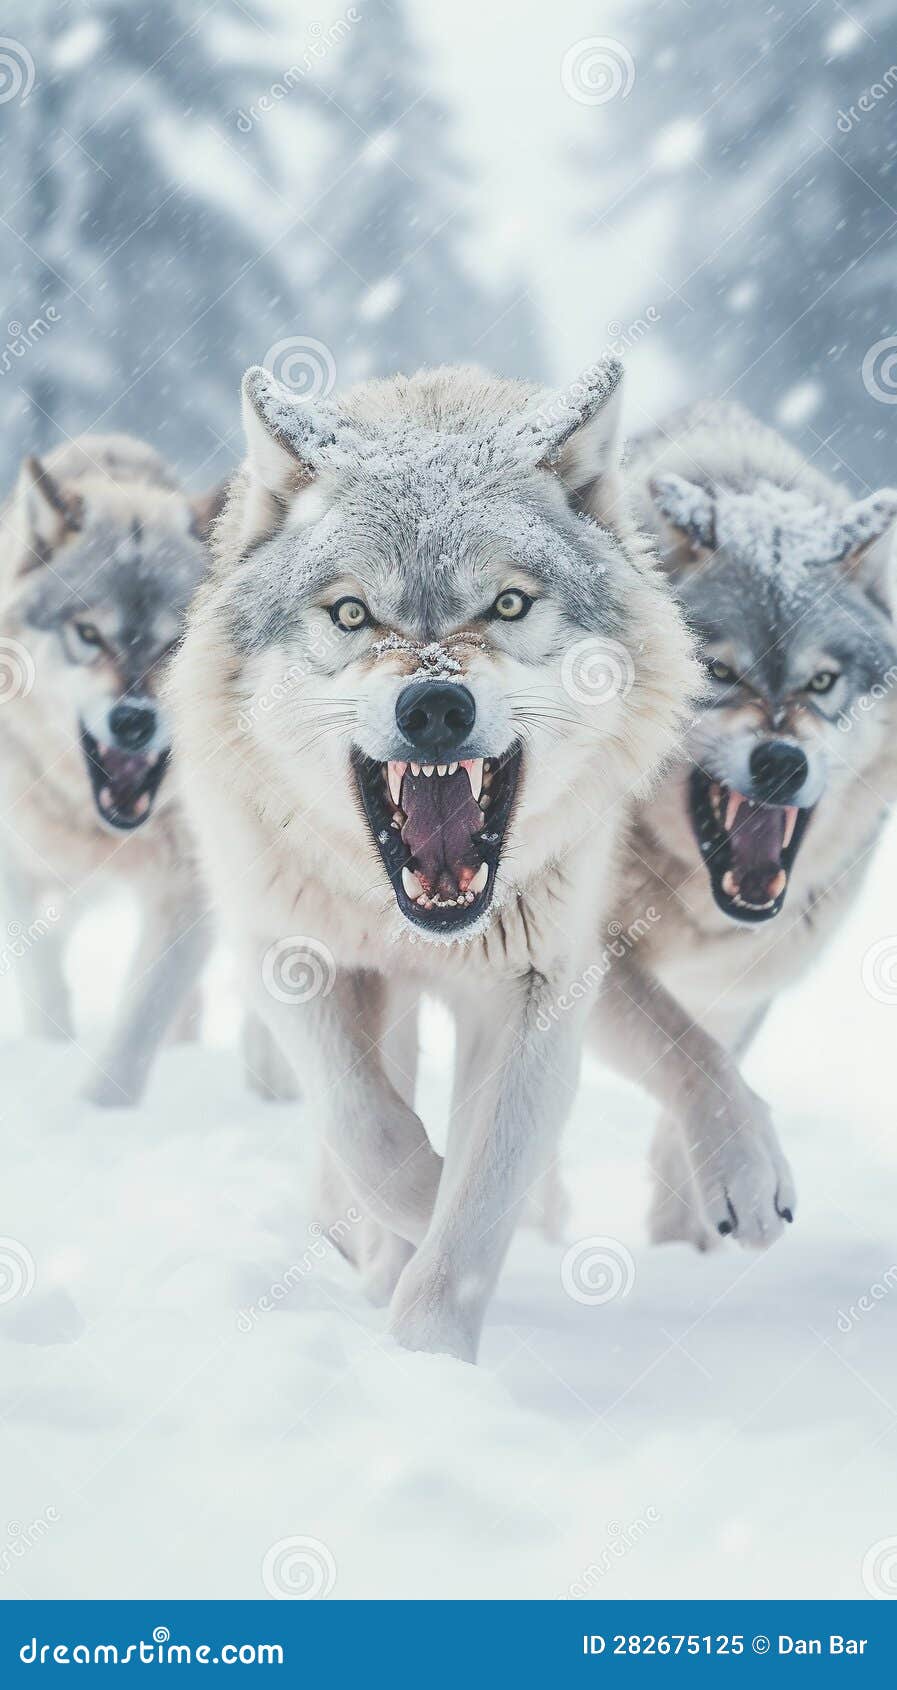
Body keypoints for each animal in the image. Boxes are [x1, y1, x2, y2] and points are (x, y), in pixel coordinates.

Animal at [0, 434, 220, 1104]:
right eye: (89, 633)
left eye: (176, 642)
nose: (133, 721)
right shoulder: (14, 871)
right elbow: (41, 975)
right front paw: (51, 1048)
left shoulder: (189, 891)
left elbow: (139, 1023)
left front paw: (100, 1111)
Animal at [168, 355, 698, 1362]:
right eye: (350, 612)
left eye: (507, 604)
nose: (436, 707)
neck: (414, 919)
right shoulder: (287, 955)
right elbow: (371, 1131)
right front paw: (396, 1219)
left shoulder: (539, 988)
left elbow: (476, 1209)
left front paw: (430, 1361)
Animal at [591, 402, 897, 1250]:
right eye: (718, 673)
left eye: (822, 683)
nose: (780, 763)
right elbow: (690, 1055)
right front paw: (748, 1177)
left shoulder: (740, 984)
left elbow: (704, 1061)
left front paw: (688, 1234)